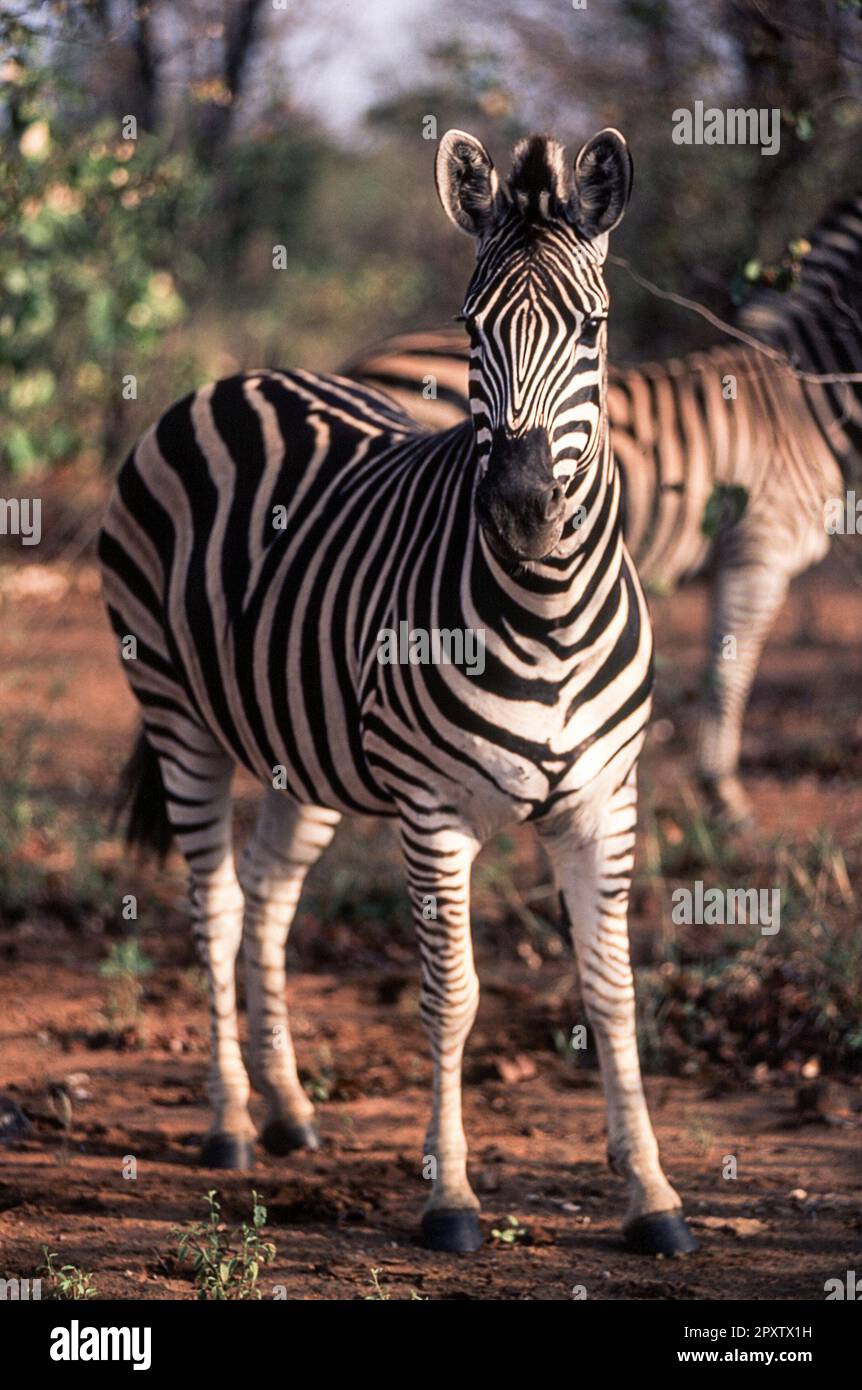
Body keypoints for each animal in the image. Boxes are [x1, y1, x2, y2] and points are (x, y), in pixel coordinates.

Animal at [99, 127, 697, 1256]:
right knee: (217, 907)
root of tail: (239, 378)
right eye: (471, 326)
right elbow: (451, 996)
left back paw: (289, 1113)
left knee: (269, 898)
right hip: (175, 711)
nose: (520, 505)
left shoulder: (606, 799)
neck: (546, 610)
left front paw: (650, 1194)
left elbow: (612, 991)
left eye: (593, 328)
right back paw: (230, 1124)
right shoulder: (433, 810)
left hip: (297, 748)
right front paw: (450, 1195)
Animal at [345, 192, 862, 829]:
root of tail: (364, 363)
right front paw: (723, 795)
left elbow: (720, 663)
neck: (804, 402)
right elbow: (731, 671)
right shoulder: (758, 549)